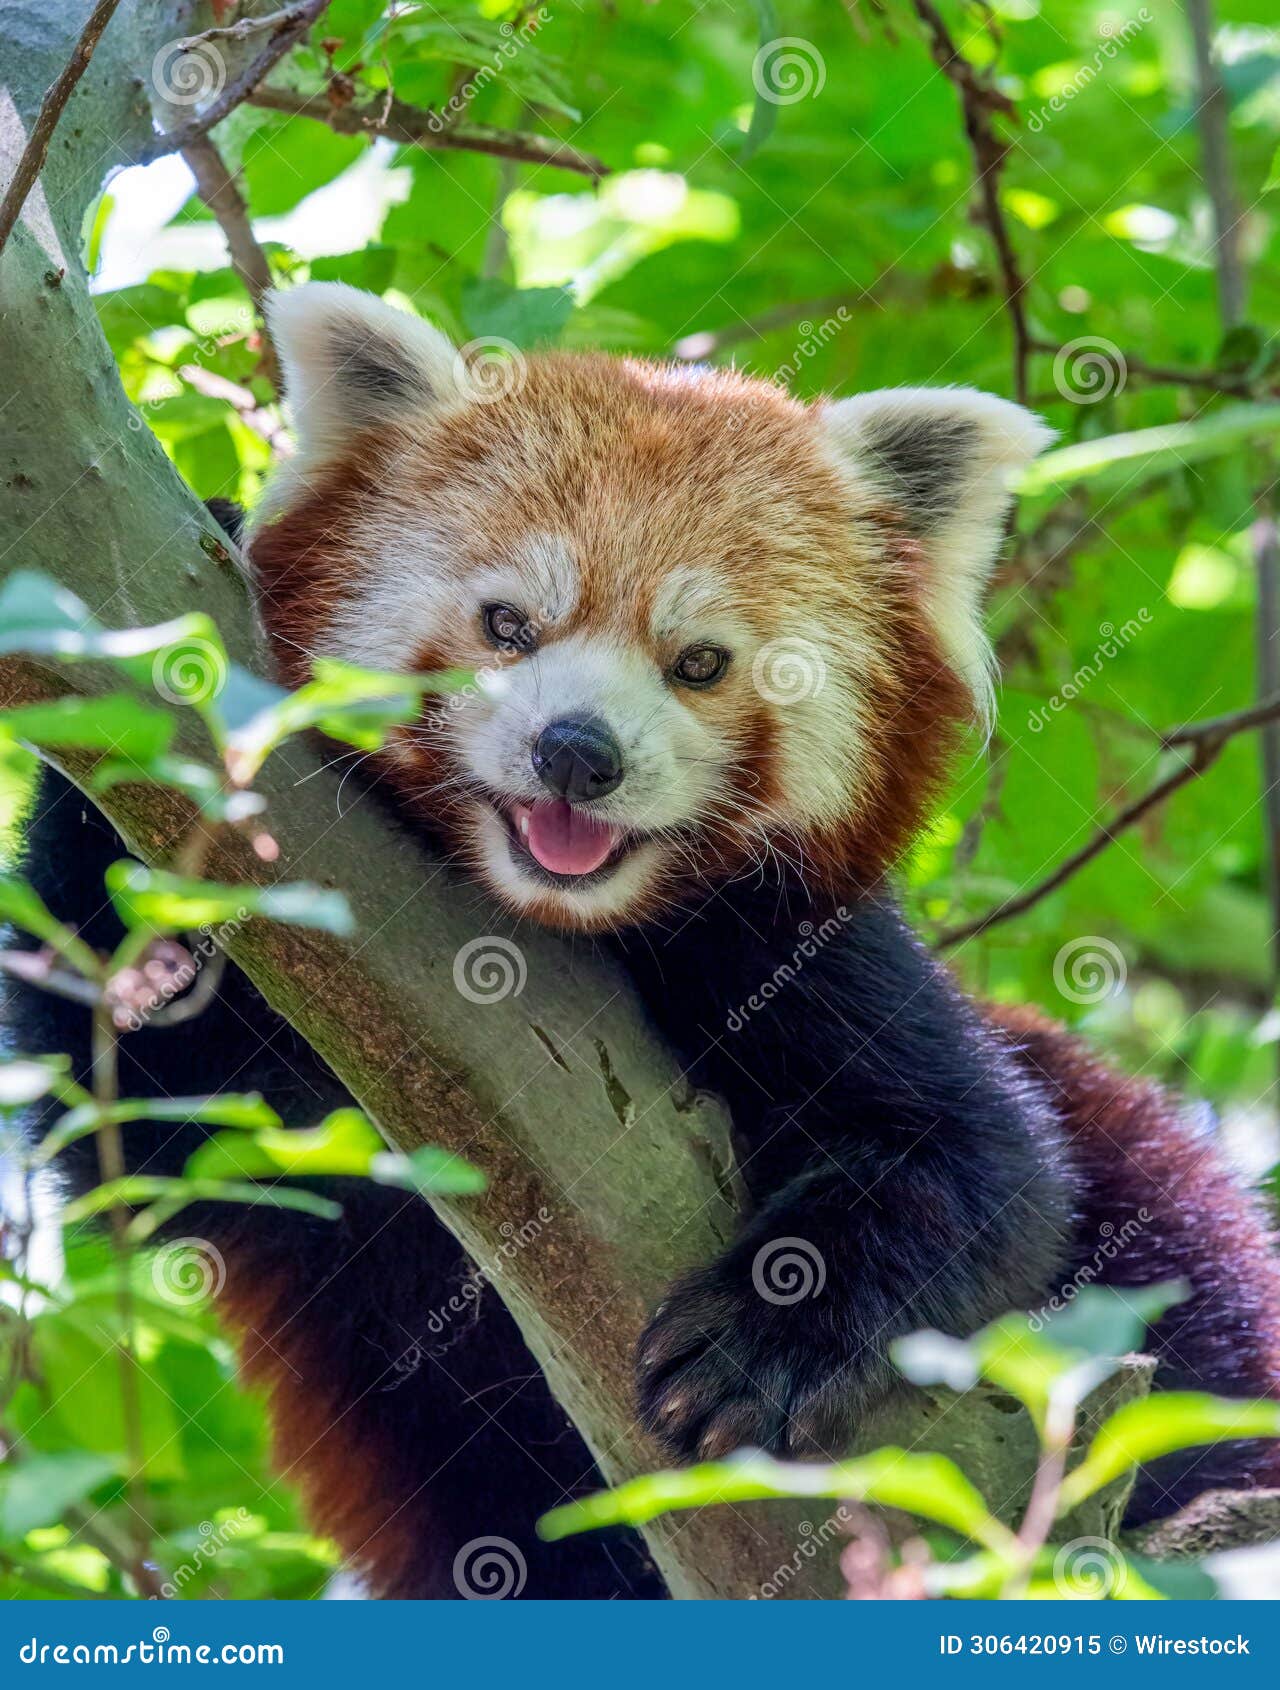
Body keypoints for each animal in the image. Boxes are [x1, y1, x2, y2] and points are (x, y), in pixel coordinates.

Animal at [10, 283, 1280, 1599]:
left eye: (700, 662)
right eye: (507, 625)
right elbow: (134, 1110)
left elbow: (984, 1163)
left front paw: (761, 1336)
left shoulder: (798, 944)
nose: (576, 750)